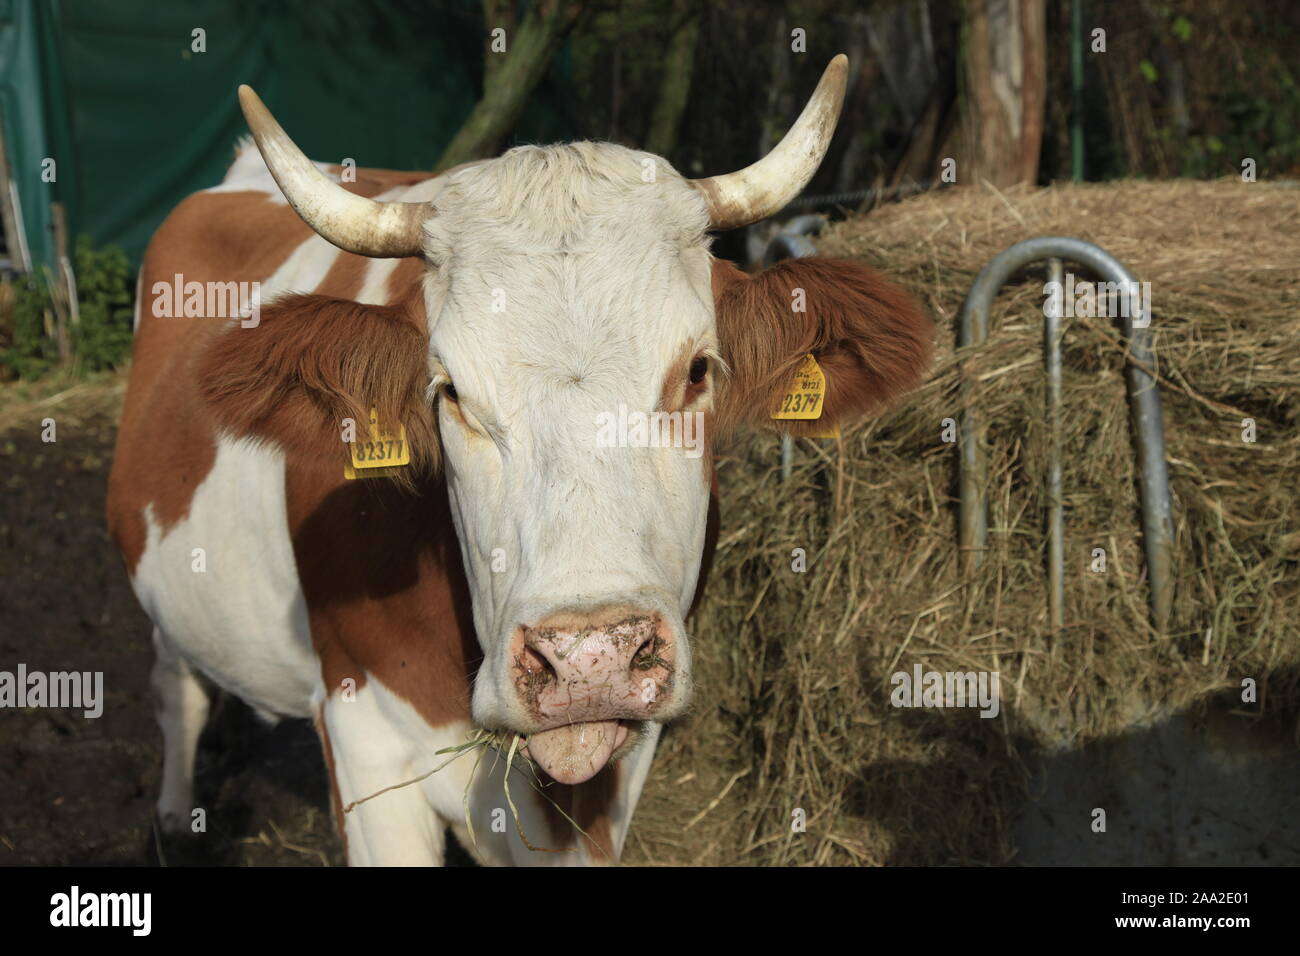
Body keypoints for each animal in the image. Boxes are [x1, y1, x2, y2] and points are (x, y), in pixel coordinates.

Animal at [107, 55, 932, 865]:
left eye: (698, 369)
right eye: (448, 390)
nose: (590, 655)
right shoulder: (367, 750)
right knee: (176, 682)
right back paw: (175, 815)